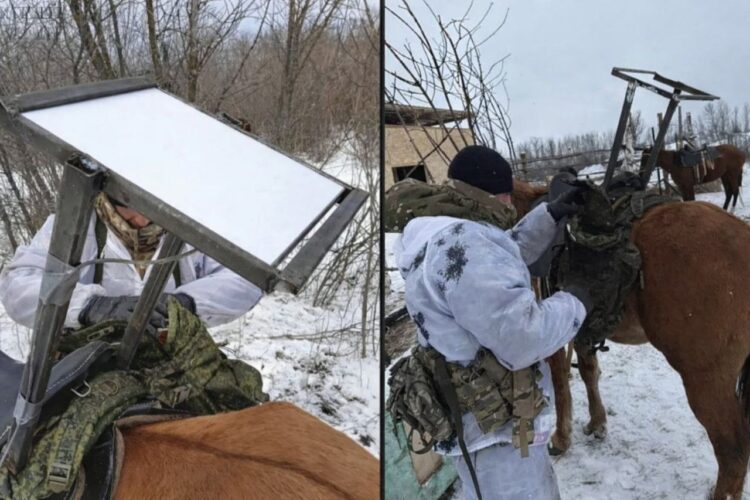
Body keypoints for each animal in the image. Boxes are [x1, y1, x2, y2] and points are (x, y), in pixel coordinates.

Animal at [512, 180, 750, 499]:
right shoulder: (584, 327)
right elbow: (588, 372)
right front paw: (597, 423)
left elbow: (561, 382)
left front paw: (561, 438)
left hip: (705, 380)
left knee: (732, 450)